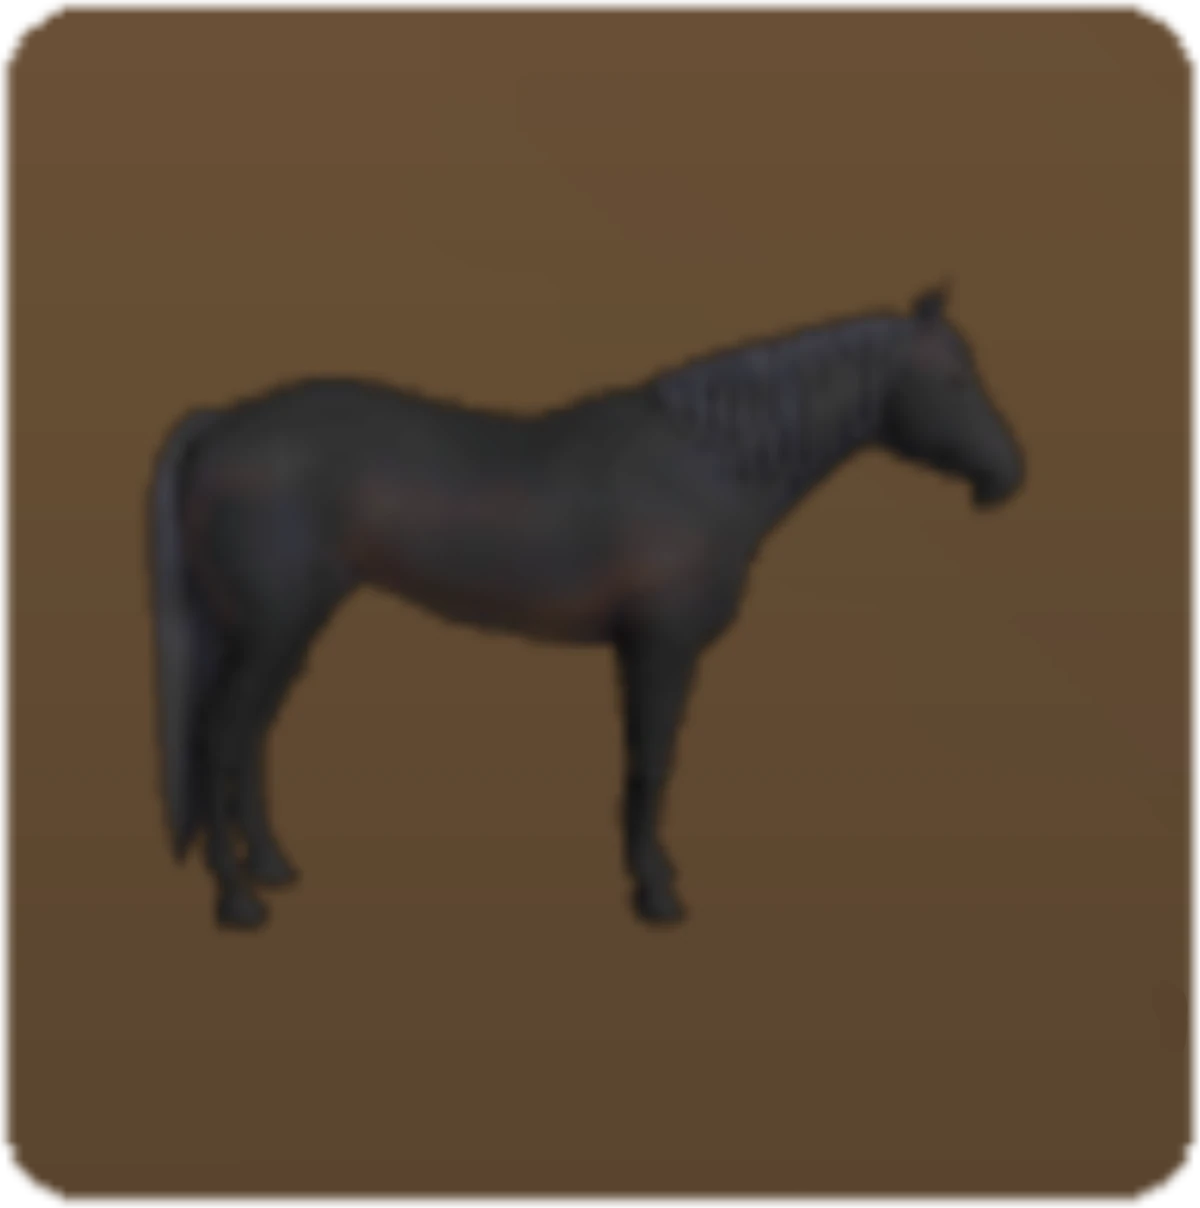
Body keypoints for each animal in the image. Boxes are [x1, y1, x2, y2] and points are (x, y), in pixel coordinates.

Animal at [146, 286, 1025, 930]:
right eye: (954, 378)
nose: (1009, 474)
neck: (706, 466)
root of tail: (223, 424)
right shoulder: (660, 648)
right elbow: (651, 761)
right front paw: (657, 894)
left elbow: (647, 761)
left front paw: (655, 875)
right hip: (270, 629)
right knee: (221, 737)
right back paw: (239, 900)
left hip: (284, 629)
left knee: (250, 737)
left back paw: (272, 866)